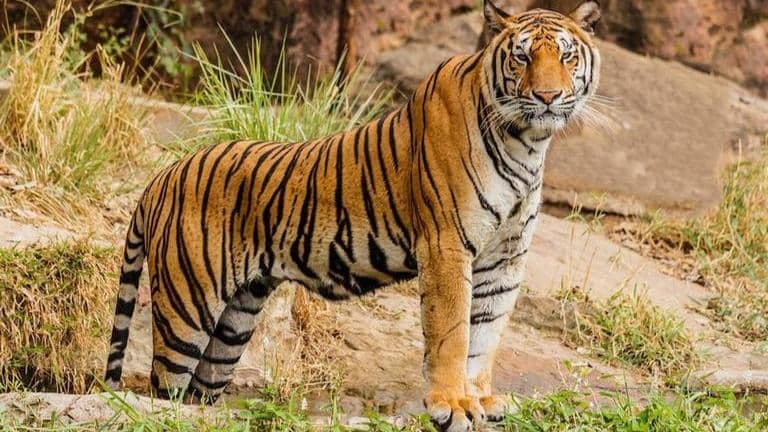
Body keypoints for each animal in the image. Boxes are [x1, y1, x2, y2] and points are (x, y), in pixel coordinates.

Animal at [104, 1, 601, 430]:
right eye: (521, 57)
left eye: (566, 55)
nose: (548, 95)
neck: (527, 143)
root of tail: (161, 177)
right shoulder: (446, 245)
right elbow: (453, 333)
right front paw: (452, 405)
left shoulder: (505, 258)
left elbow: (486, 335)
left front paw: (480, 400)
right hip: (186, 307)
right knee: (163, 388)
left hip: (234, 322)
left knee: (198, 392)